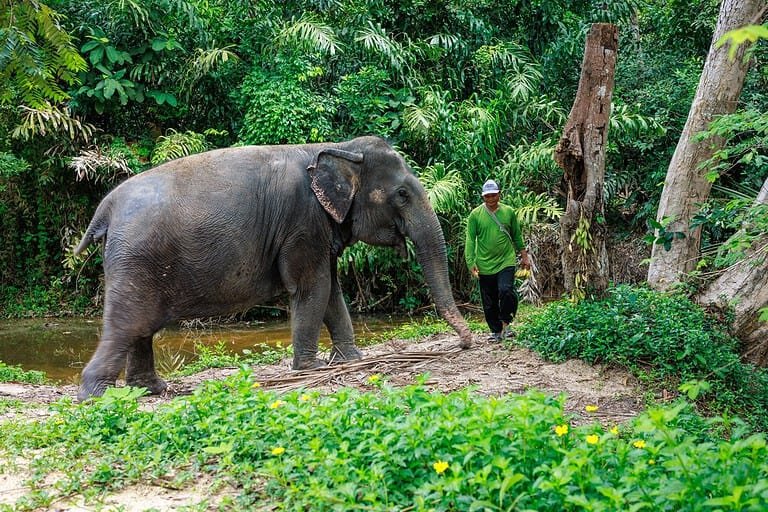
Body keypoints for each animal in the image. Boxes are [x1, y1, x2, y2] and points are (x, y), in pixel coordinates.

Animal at [73, 135, 473, 401]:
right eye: (402, 195)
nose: (465, 343)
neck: (337, 147)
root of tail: (105, 208)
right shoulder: (302, 223)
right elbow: (313, 287)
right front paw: (311, 370)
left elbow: (332, 291)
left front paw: (349, 360)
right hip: (136, 260)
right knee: (127, 324)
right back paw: (96, 396)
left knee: (140, 328)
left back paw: (151, 390)